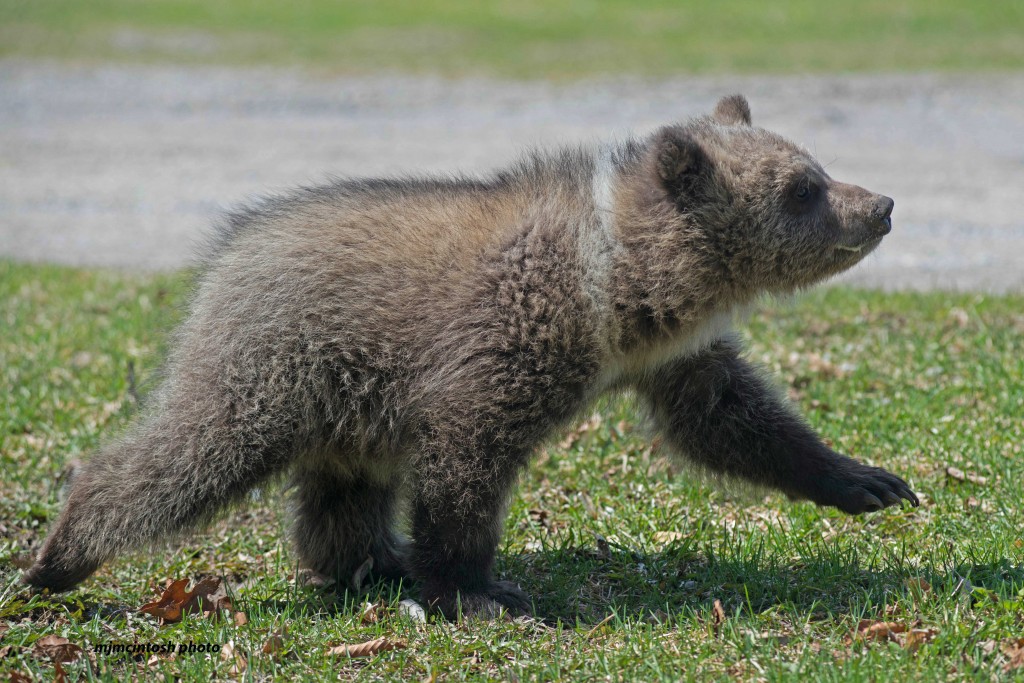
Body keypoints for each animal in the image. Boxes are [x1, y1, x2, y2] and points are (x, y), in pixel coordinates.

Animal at [25, 94, 917, 619]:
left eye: (813, 168)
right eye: (802, 188)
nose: (881, 203)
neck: (622, 287)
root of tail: (225, 253)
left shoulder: (674, 354)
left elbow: (730, 419)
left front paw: (862, 478)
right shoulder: (503, 344)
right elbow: (466, 461)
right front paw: (476, 587)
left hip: (354, 402)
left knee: (342, 492)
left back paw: (371, 562)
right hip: (275, 368)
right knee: (190, 453)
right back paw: (61, 554)